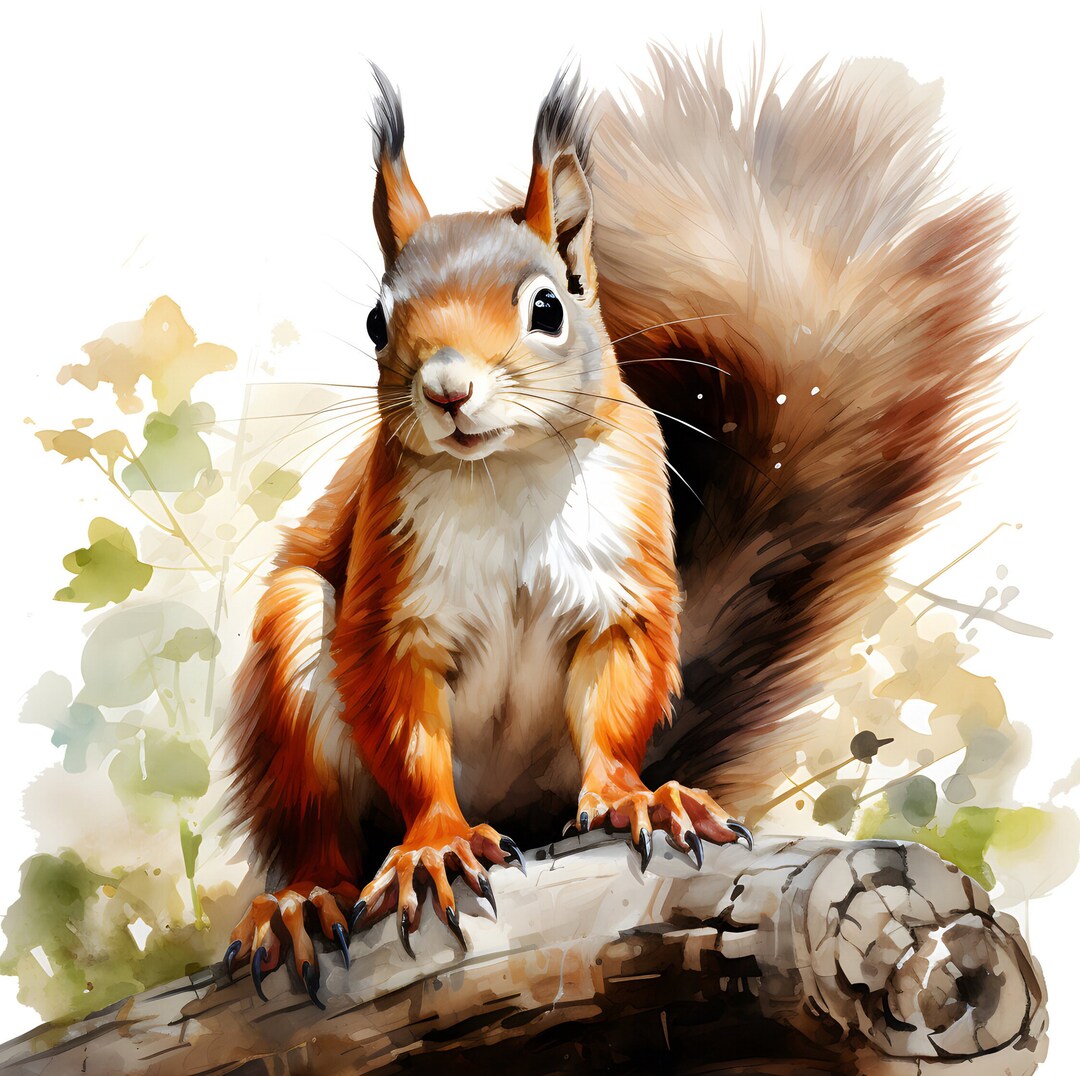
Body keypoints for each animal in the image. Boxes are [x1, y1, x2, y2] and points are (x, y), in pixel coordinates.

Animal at [223, 49, 1013, 1006]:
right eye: (378, 322)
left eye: (548, 308)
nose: (447, 390)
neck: (507, 474)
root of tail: (517, 811)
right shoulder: (393, 593)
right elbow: (406, 729)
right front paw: (435, 842)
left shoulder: (621, 585)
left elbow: (615, 695)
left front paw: (639, 796)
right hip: (294, 664)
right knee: (318, 830)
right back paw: (300, 900)